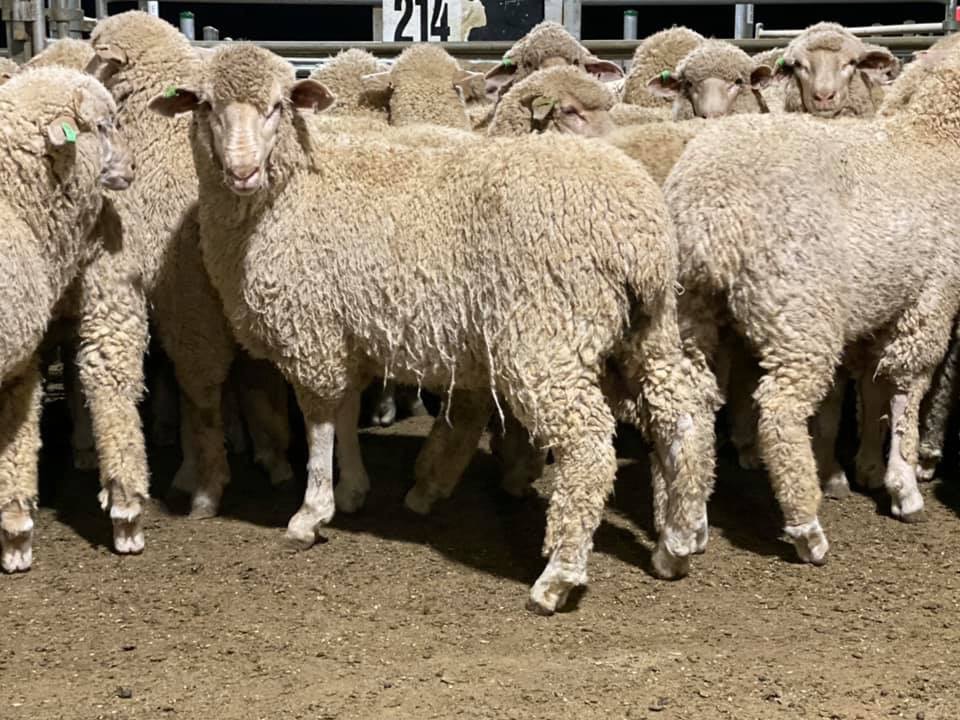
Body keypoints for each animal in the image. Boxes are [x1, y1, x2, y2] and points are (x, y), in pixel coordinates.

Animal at [150, 42, 712, 614]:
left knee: (591, 445)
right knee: (681, 414)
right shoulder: (348, 332)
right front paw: (353, 490)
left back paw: (558, 576)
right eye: (205, 106)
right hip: (646, 327)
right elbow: (346, 412)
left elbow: (320, 422)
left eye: (278, 106)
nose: (241, 169)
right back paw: (676, 543)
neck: (289, 192)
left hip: (546, 337)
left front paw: (310, 513)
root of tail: (635, 226)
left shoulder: (314, 331)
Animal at [663, 50, 960, 568]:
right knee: (779, 413)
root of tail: (707, 209)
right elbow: (906, 389)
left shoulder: (874, 306)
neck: (934, 140)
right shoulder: (931, 295)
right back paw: (807, 530)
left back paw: (686, 528)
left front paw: (864, 467)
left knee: (690, 406)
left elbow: (869, 387)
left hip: (688, 311)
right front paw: (903, 486)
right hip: (799, 311)